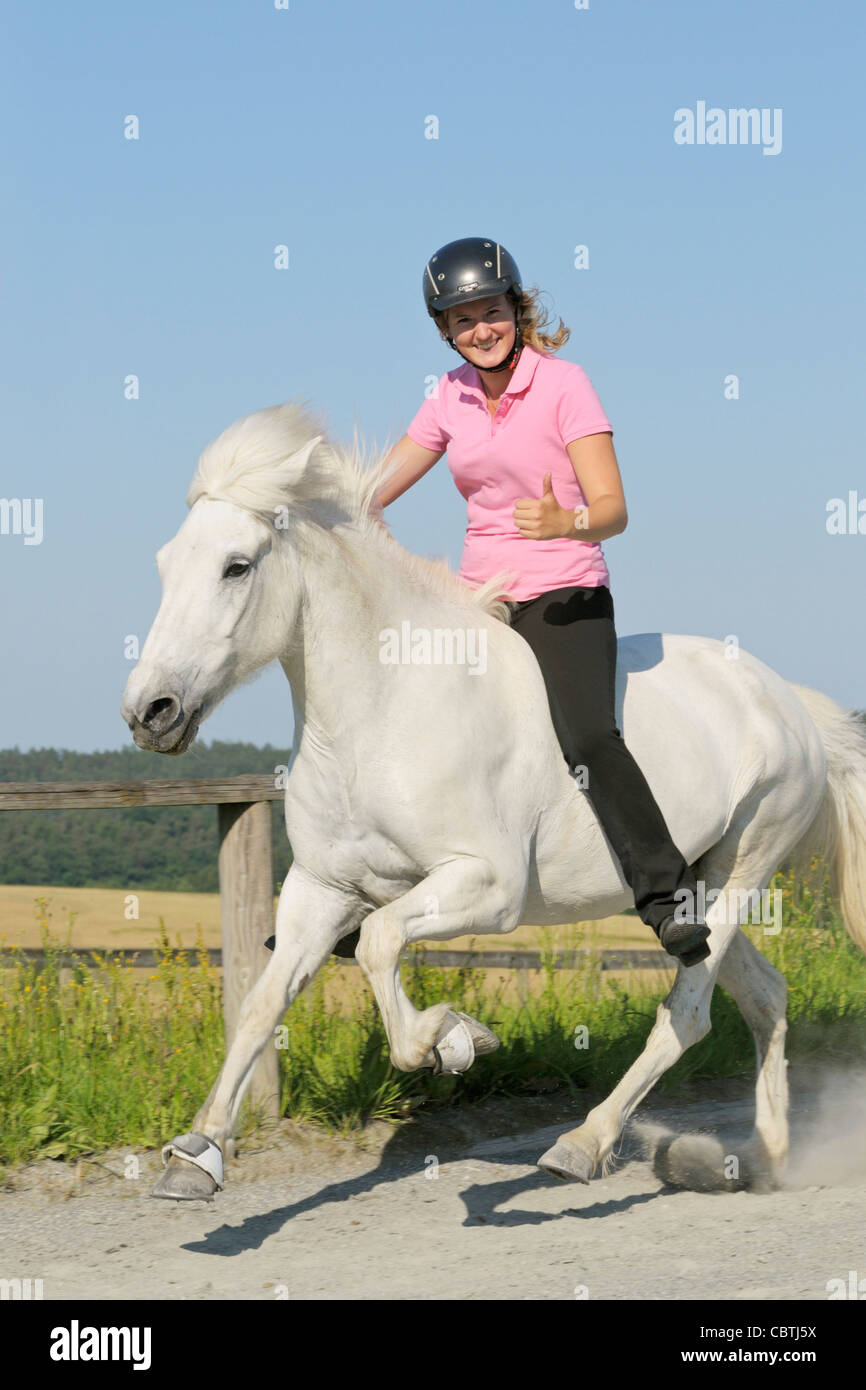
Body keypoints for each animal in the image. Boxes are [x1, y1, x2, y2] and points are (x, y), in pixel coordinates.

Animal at [120, 401, 866, 1202]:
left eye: (237, 566)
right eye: (165, 564)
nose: (150, 712)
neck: (382, 707)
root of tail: (790, 702)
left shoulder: (485, 886)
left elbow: (380, 942)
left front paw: (454, 1039)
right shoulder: (321, 889)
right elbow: (262, 1006)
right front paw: (196, 1156)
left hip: (743, 865)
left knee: (688, 1015)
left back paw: (582, 1145)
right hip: (692, 887)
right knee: (765, 995)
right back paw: (760, 1160)